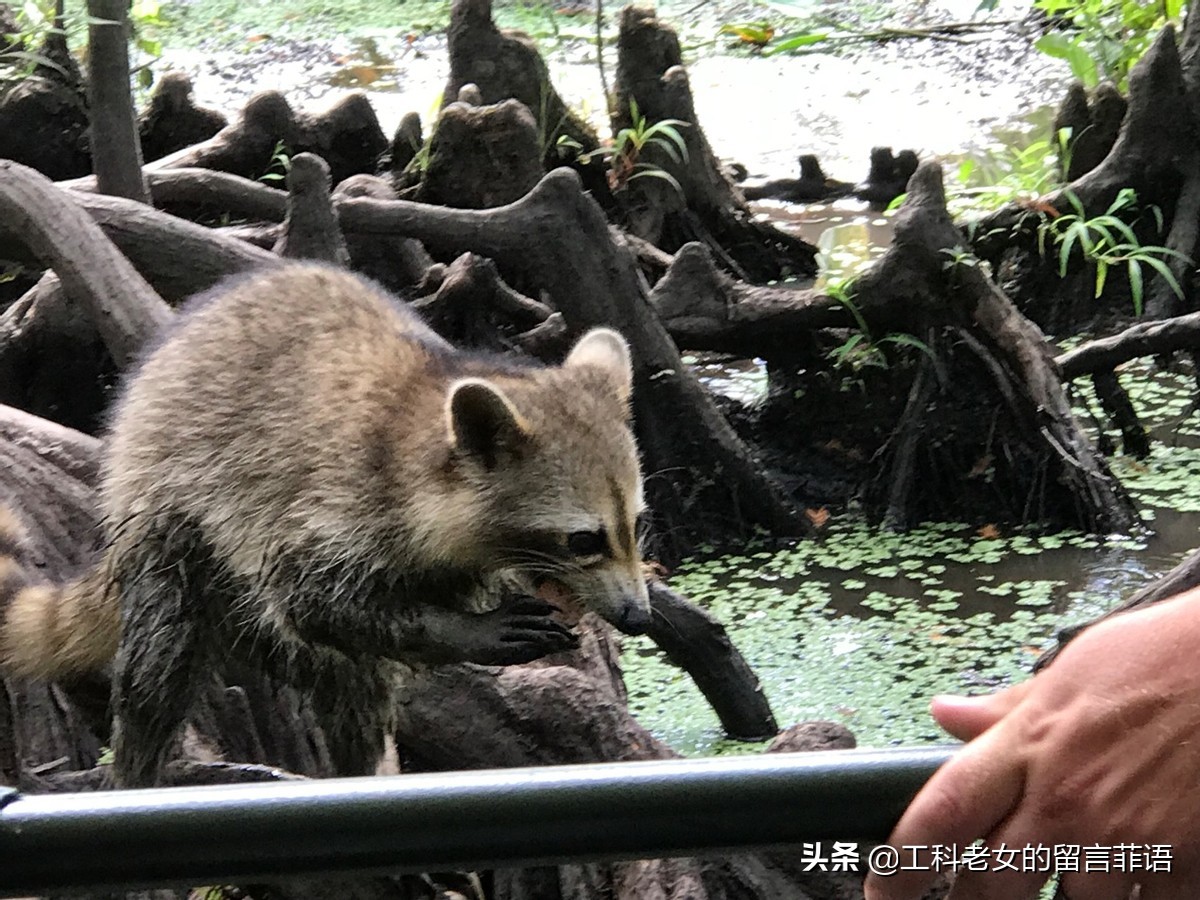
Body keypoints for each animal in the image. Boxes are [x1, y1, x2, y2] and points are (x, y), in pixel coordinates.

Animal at [1, 263, 651, 786]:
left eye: (636, 526)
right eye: (584, 541)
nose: (639, 615)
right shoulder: (333, 499)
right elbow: (308, 599)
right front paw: (464, 630)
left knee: (354, 688)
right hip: (163, 505)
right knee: (160, 662)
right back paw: (139, 766)